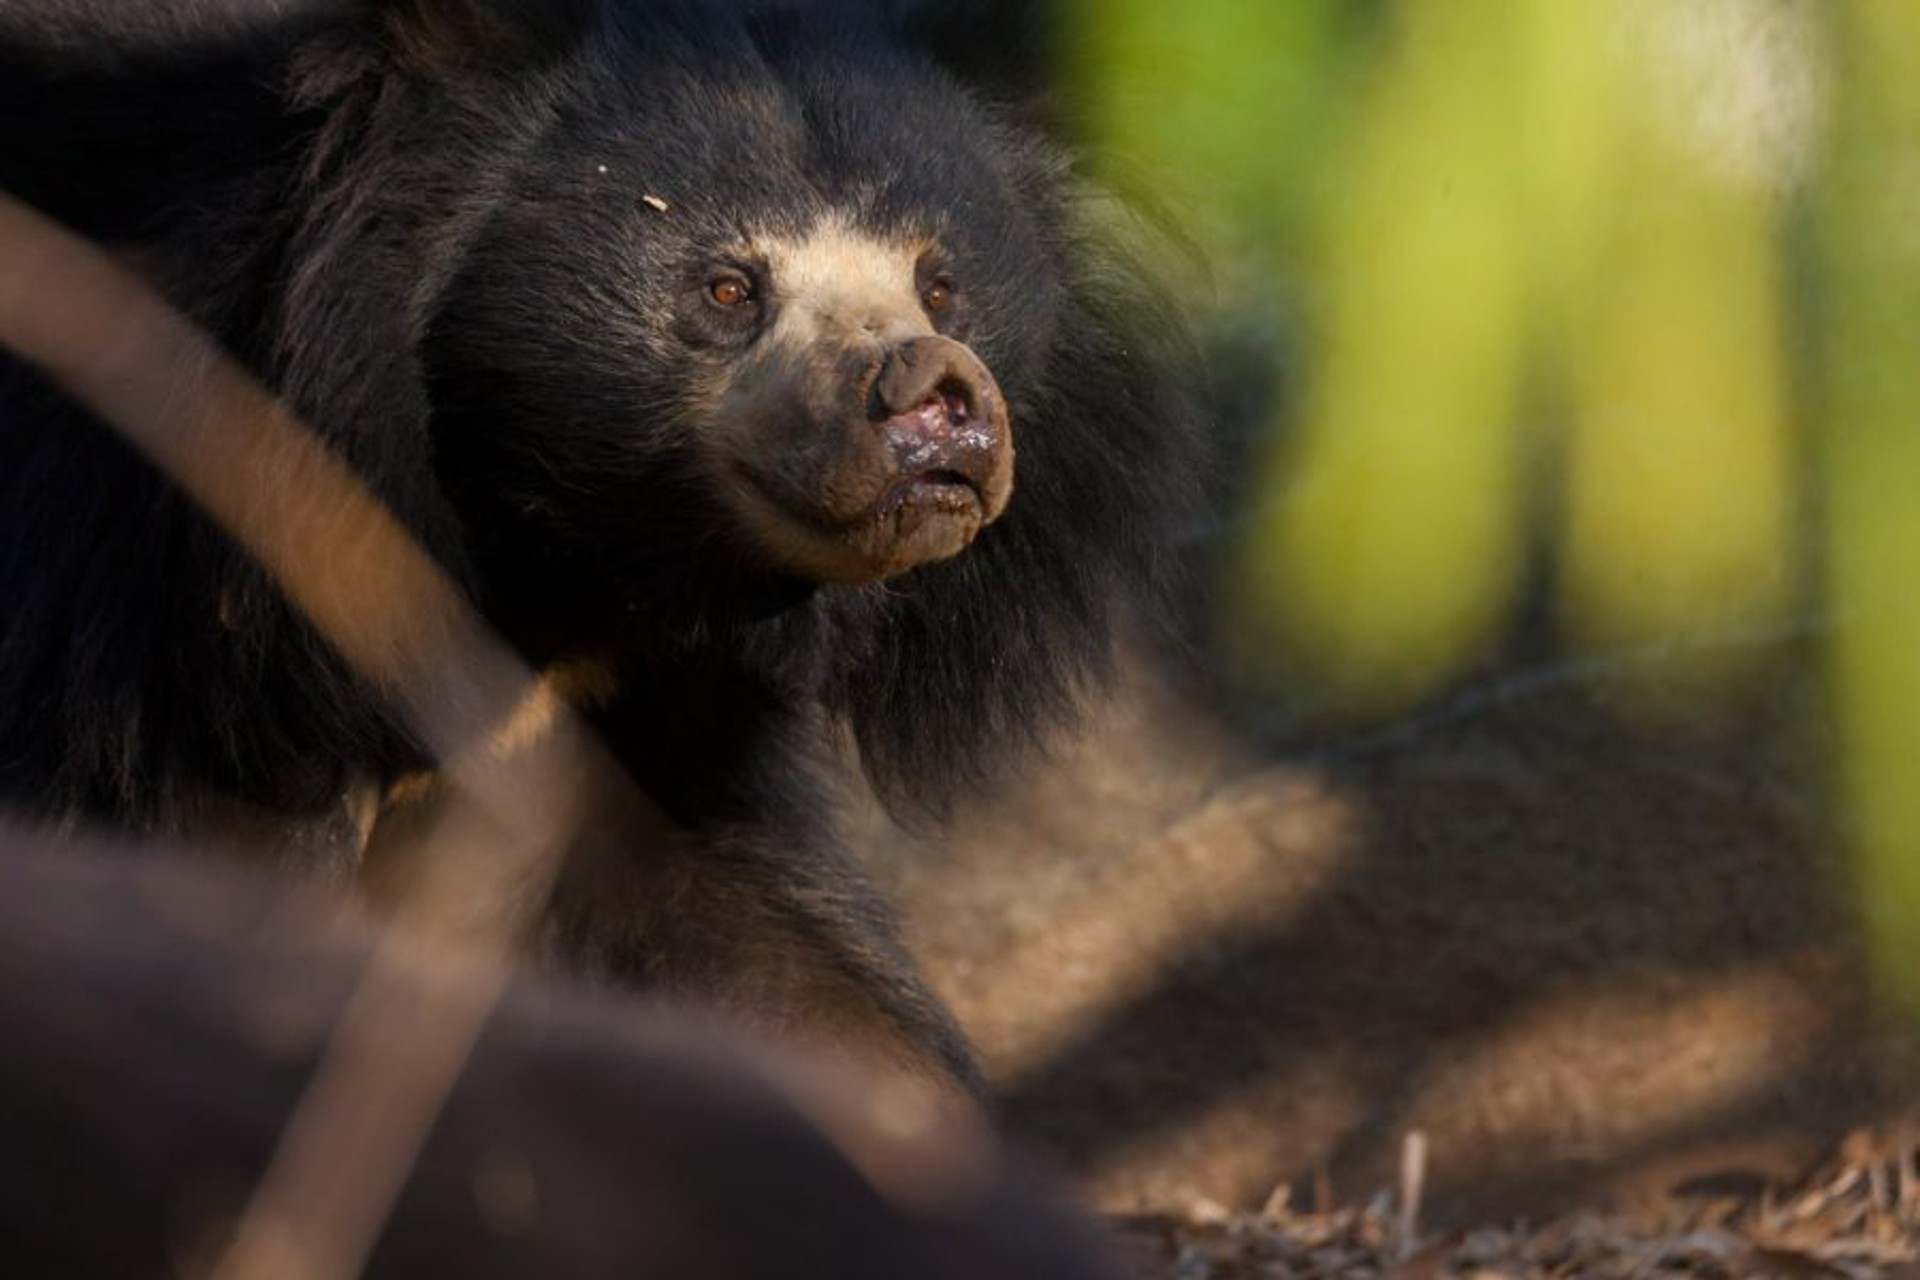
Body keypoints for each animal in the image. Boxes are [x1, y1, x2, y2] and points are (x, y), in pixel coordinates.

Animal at [0, 0, 1204, 1095]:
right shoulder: (137, 617)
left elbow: (754, 963)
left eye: (939, 281)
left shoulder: (614, 702)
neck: (566, 551)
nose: (935, 396)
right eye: (727, 287)